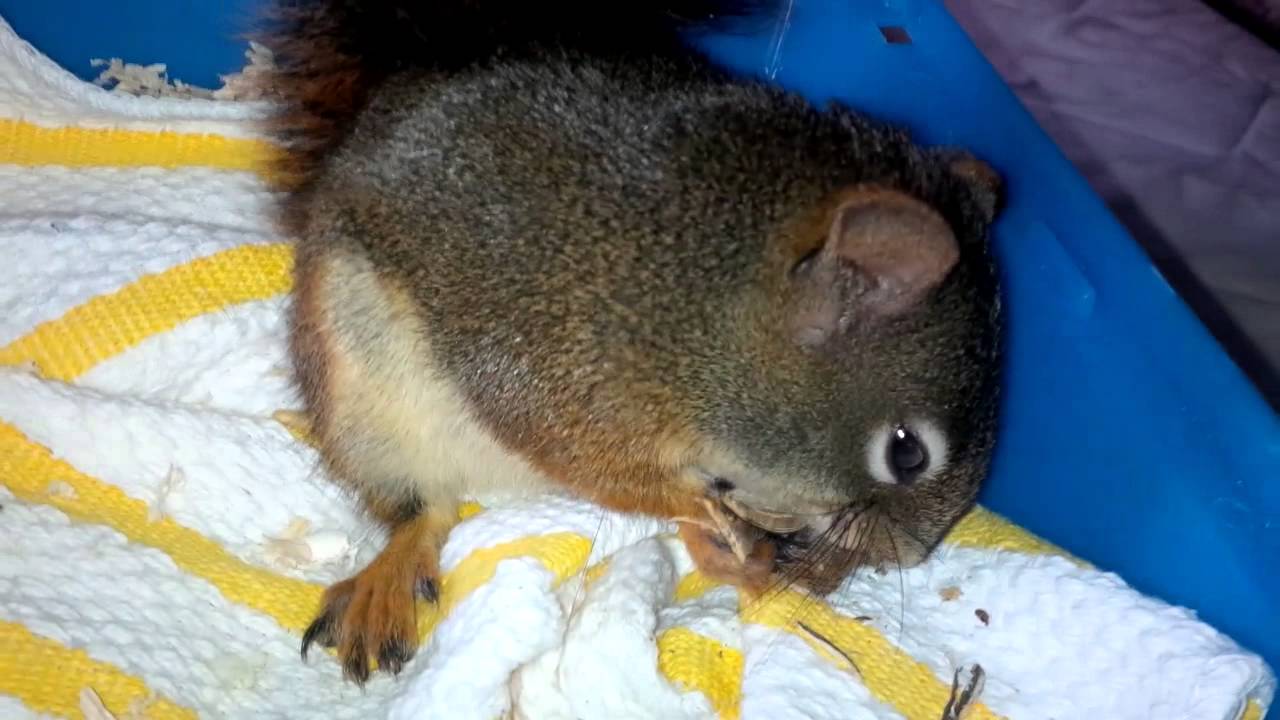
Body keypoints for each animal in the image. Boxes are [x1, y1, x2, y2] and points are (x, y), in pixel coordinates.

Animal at [261, 0, 1006, 684]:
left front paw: (769, 556)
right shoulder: (556, 365)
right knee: (419, 508)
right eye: (906, 452)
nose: (906, 554)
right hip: (361, 400)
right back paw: (387, 581)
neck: (703, 304)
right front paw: (701, 506)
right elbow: (597, 467)